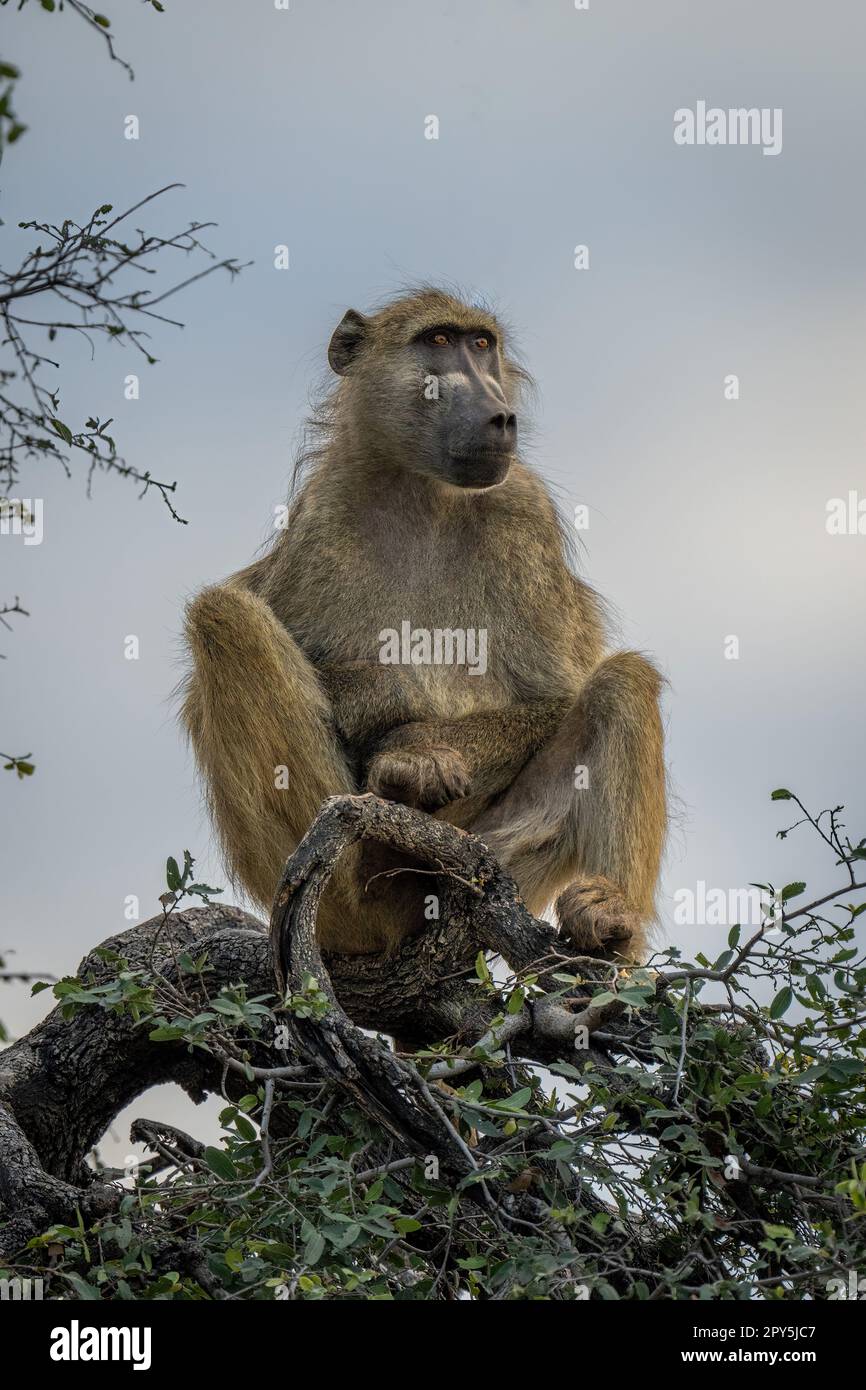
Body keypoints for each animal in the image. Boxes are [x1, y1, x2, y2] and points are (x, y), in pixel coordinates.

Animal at [181, 287, 667, 961]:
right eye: (437, 341)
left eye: (482, 345)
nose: (500, 417)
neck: (423, 494)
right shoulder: (322, 516)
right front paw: (398, 722)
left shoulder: (524, 512)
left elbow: (555, 699)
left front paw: (413, 752)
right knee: (224, 618)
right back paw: (350, 877)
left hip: (491, 862)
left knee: (622, 683)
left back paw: (609, 926)